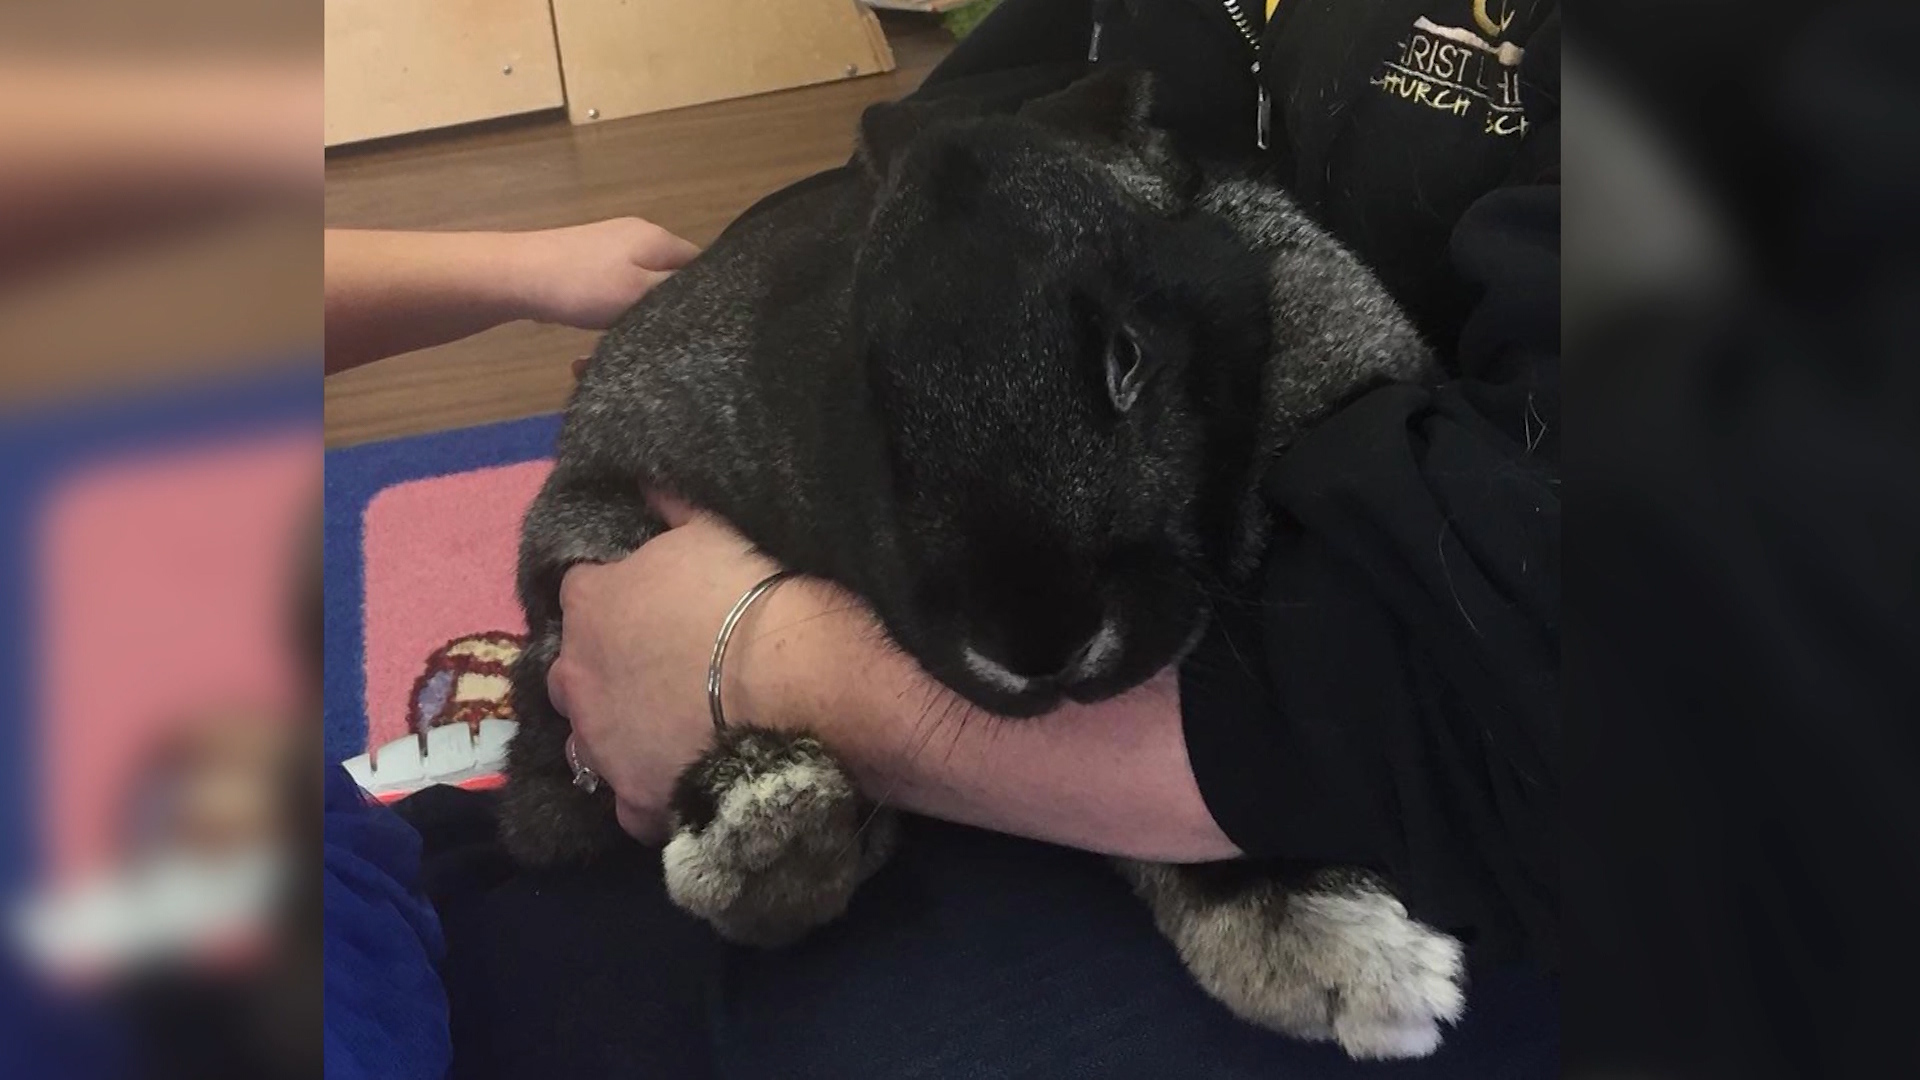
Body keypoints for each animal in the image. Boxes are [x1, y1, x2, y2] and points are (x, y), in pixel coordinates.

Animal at [499, 68, 1462, 1060]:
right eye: (869, 396)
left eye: (1127, 356)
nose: (1039, 643)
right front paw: (1346, 959)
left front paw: (1342, 952)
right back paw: (763, 814)